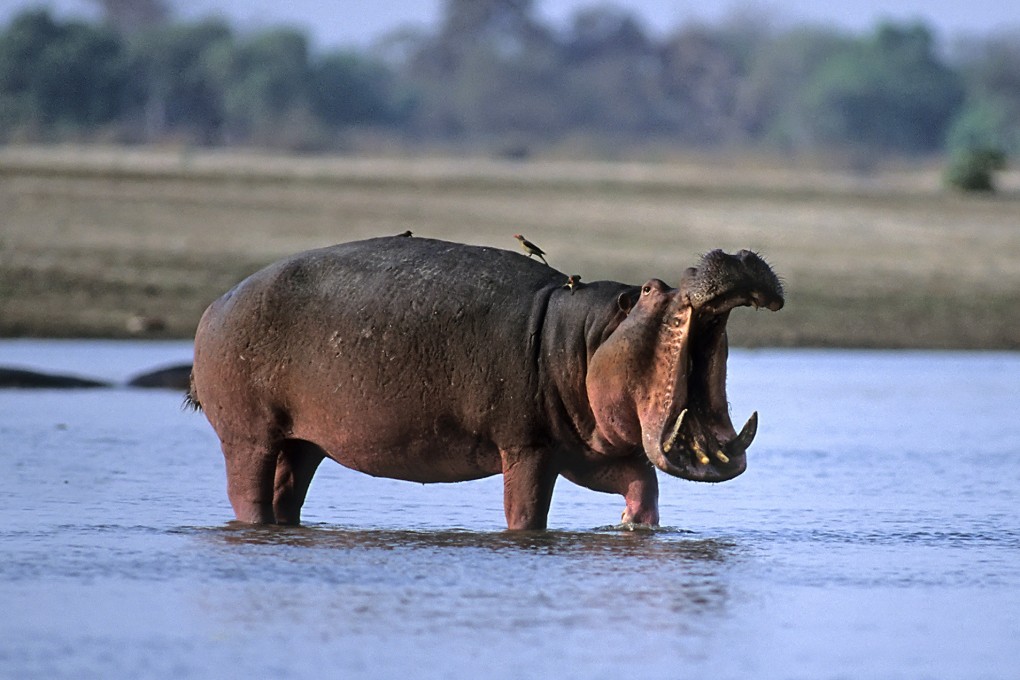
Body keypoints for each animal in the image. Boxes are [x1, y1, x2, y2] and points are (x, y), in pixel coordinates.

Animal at [189, 236, 783, 529]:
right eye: (650, 289)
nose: (735, 254)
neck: (589, 335)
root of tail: (215, 305)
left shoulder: (582, 449)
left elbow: (641, 484)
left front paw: (635, 525)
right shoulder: (527, 447)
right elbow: (526, 513)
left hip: (304, 440)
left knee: (286, 490)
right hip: (249, 434)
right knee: (247, 492)